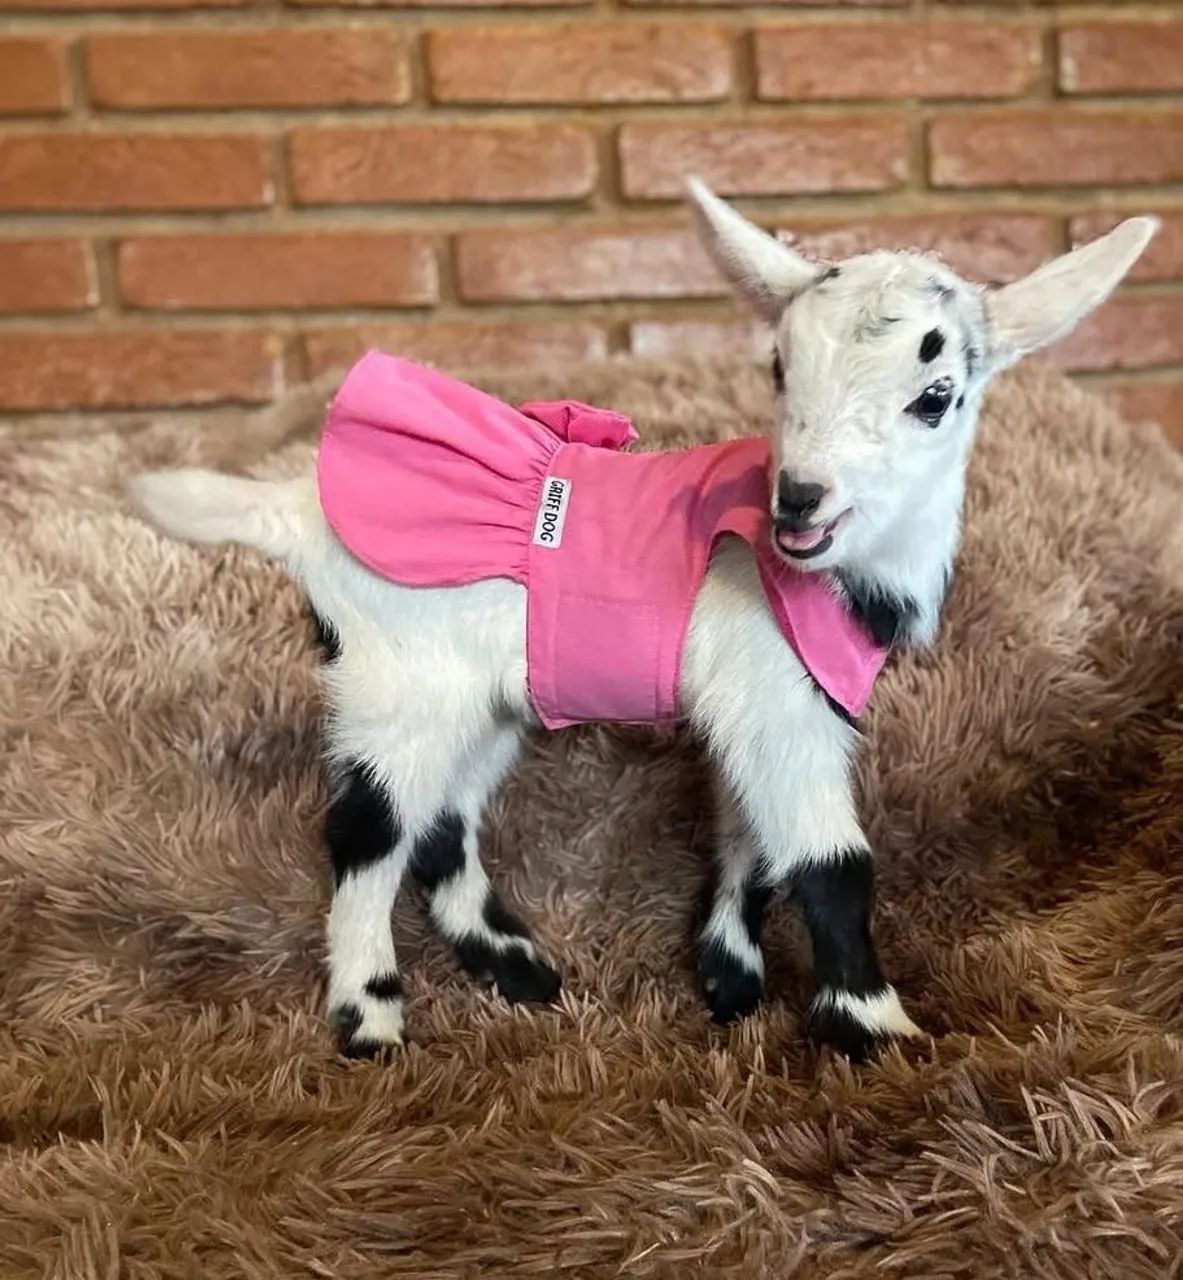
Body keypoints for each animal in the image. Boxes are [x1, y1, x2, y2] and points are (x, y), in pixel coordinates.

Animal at [130, 181, 1156, 1061]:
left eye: (934, 396)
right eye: (778, 368)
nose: (799, 501)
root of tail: (298, 517)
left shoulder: (765, 707)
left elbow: (751, 838)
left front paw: (730, 978)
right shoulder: (777, 701)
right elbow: (830, 861)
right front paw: (875, 1027)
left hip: (478, 699)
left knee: (442, 824)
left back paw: (511, 963)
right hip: (399, 685)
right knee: (365, 831)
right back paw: (369, 1016)